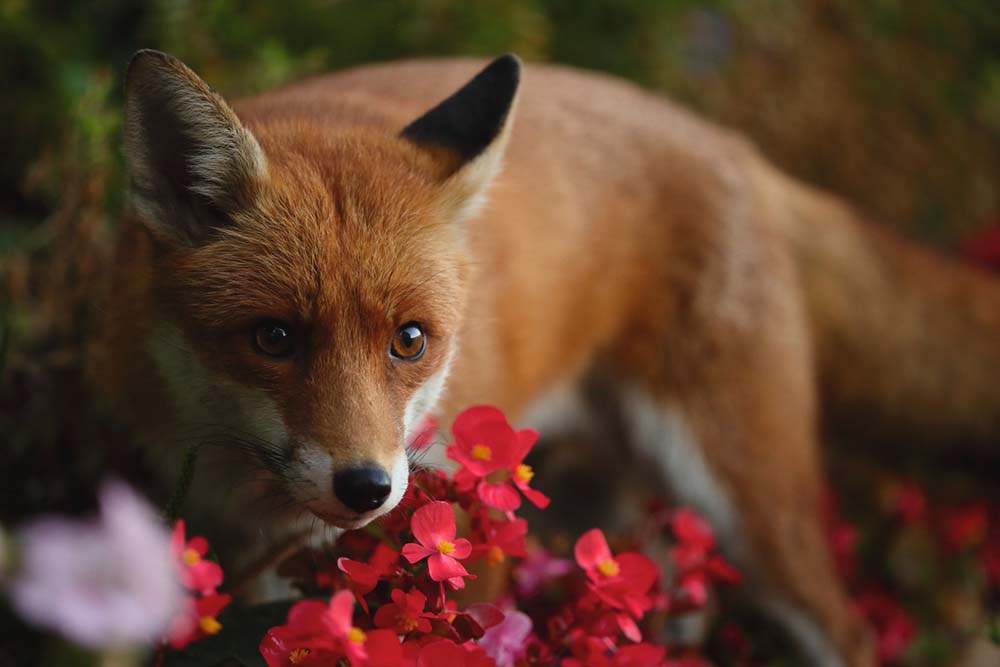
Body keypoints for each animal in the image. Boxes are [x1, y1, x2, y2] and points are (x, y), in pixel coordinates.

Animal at [88, 49, 1000, 667]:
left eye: (409, 339)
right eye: (274, 338)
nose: (368, 487)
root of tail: (731, 143)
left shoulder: (464, 548)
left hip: (748, 496)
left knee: (847, 628)